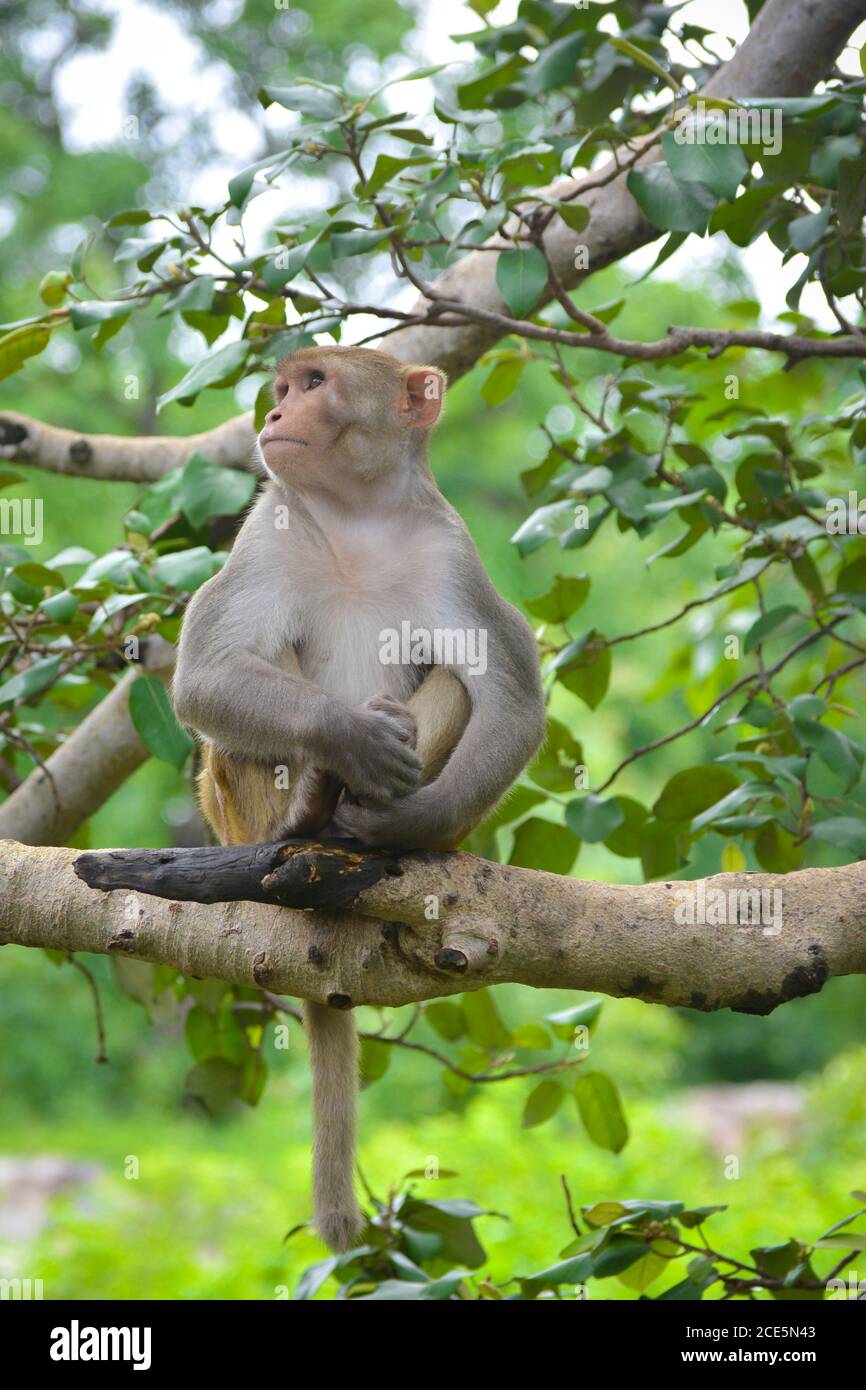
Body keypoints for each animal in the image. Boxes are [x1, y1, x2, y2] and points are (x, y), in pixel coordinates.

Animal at [172, 344, 546, 1252]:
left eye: (314, 385)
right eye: (282, 388)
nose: (273, 415)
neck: (357, 522)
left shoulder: (452, 553)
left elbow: (510, 700)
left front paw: (408, 815)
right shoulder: (266, 530)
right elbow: (206, 675)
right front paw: (349, 739)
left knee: (452, 681)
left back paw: (382, 838)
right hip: (236, 815)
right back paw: (307, 808)